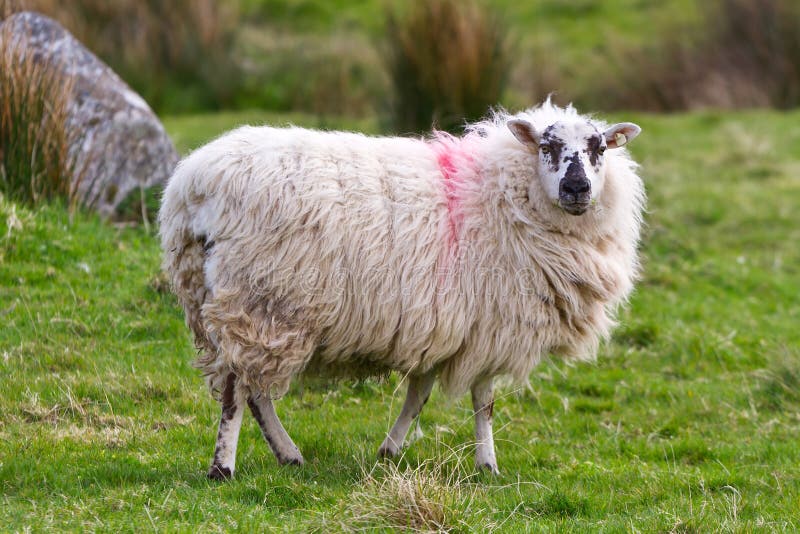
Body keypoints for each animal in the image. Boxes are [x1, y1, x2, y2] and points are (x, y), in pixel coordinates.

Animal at [158, 100, 645, 479]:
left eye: (599, 148)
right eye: (548, 147)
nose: (576, 187)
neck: (502, 194)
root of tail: (193, 187)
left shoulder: (438, 322)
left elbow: (418, 395)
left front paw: (390, 450)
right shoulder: (490, 323)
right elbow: (483, 402)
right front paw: (488, 465)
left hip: (250, 307)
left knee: (256, 391)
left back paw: (289, 454)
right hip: (259, 301)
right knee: (235, 391)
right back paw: (223, 467)